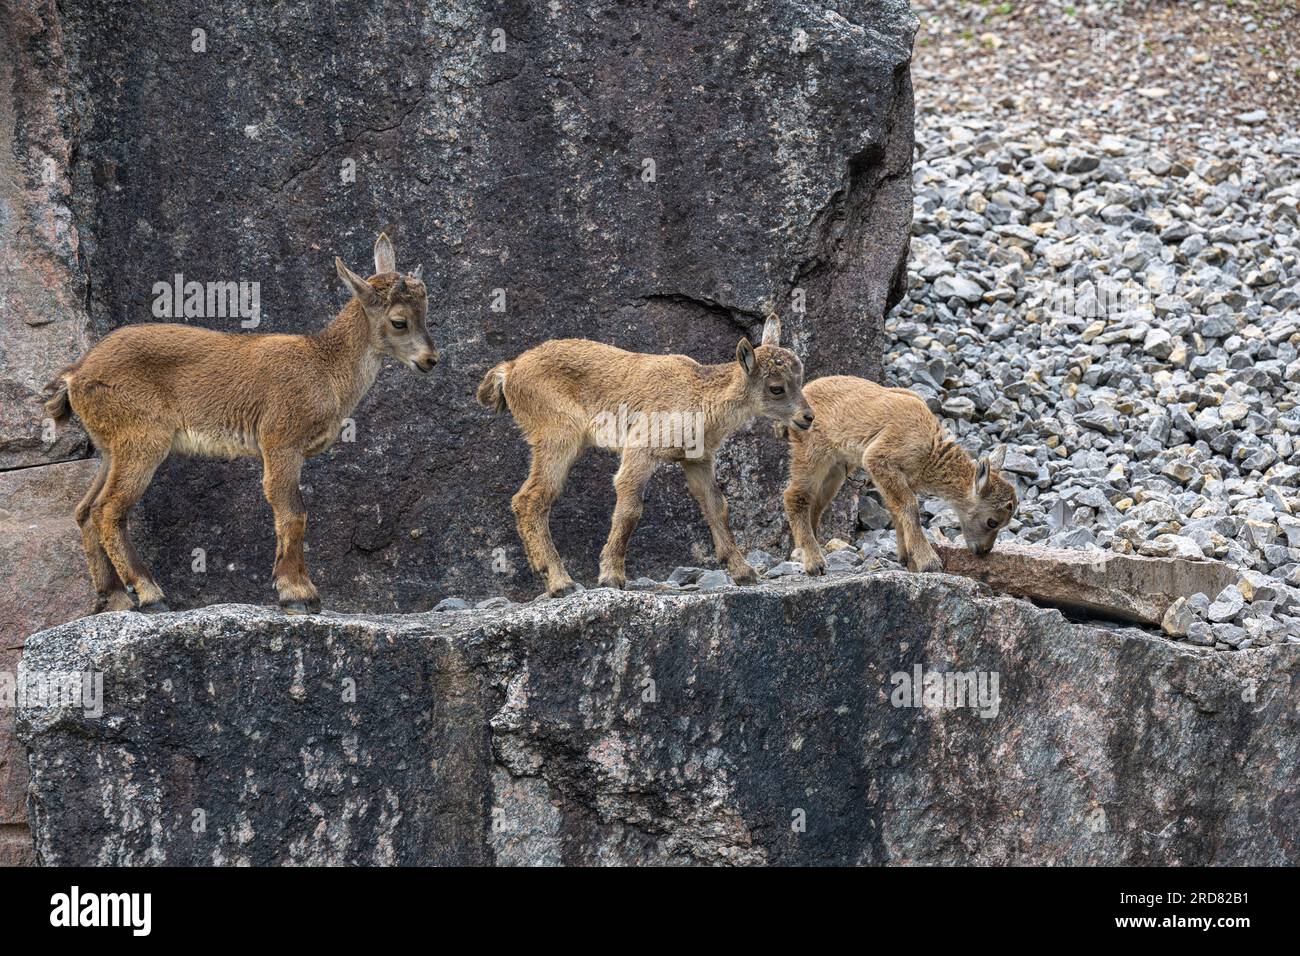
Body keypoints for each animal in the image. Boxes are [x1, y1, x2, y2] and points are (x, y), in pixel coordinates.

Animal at [42, 234, 438, 614]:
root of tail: (77, 374)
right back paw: (150, 594)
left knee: (85, 511)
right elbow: (293, 513)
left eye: (426, 313)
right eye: (399, 321)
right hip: (142, 440)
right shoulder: (281, 442)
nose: (431, 360)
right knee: (108, 510)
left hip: (113, 447)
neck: (325, 366)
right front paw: (299, 593)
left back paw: (115, 598)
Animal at [477, 316, 814, 596]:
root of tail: (510, 371)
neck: (700, 396)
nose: (807, 417)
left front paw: (743, 572)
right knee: (531, 499)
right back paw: (561, 582)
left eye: (799, 379)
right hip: (558, 435)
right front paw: (611, 576)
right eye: (776, 387)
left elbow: (717, 508)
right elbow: (630, 510)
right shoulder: (641, 450)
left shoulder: (697, 460)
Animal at [781, 375, 1016, 575]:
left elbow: (897, 510)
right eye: (992, 521)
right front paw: (928, 561)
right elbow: (910, 507)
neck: (930, 450)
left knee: (816, 505)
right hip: (812, 455)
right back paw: (814, 563)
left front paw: (905, 557)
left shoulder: (895, 479)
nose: (984, 551)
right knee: (794, 497)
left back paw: (806, 552)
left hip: (835, 471)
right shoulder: (879, 460)